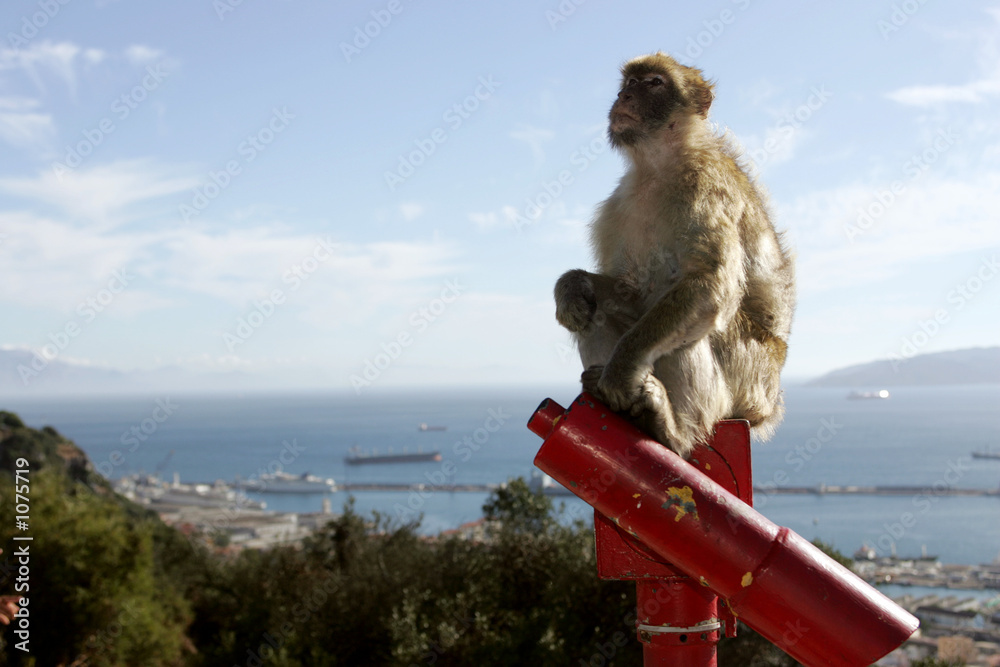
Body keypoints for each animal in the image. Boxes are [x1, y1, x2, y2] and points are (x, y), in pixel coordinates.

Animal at [554, 52, 795, 458]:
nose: (623, 95)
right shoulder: (618, 207)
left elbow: (708, 284)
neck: (658, 167)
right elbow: (624, 287)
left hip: (749, 378)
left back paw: (673, 431)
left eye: (653, 82)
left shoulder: (705, 186)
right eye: (629, 83)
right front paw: (571, 286)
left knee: (697, 312)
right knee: (594, 310)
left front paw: (621, 372)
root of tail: (768, 408)